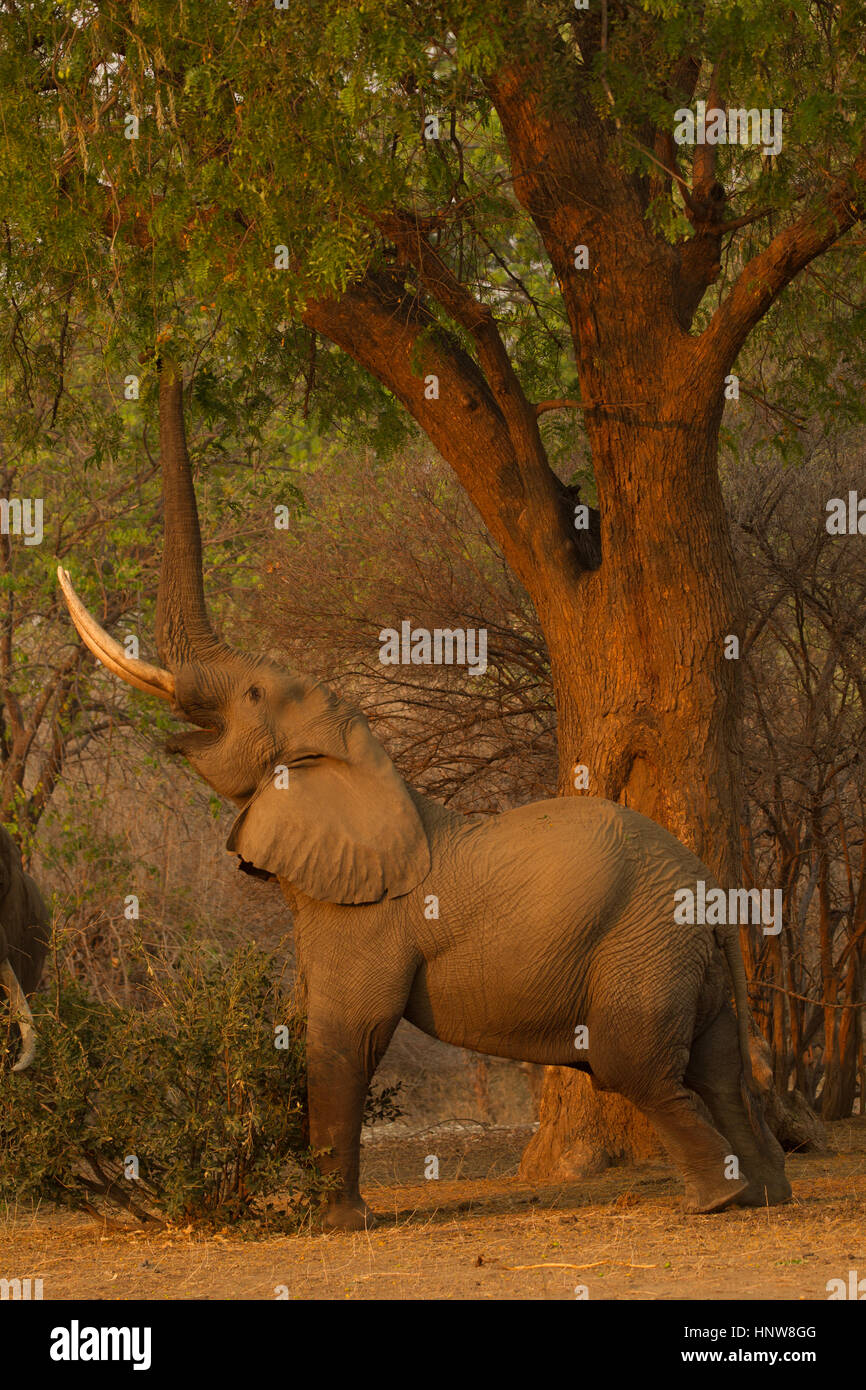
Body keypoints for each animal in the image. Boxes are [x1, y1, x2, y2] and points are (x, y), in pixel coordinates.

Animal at [58, 361, 790, 1229]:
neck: (365, 760)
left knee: (636, 1066)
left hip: (642, 947)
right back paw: (763, 1194)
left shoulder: (369, 920)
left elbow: (346, 1034)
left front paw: (336, 1226)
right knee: (716, 1068)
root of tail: (716, 892)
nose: (175, 352)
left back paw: (716, 1202)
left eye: (254, 695)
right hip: (686, 957)